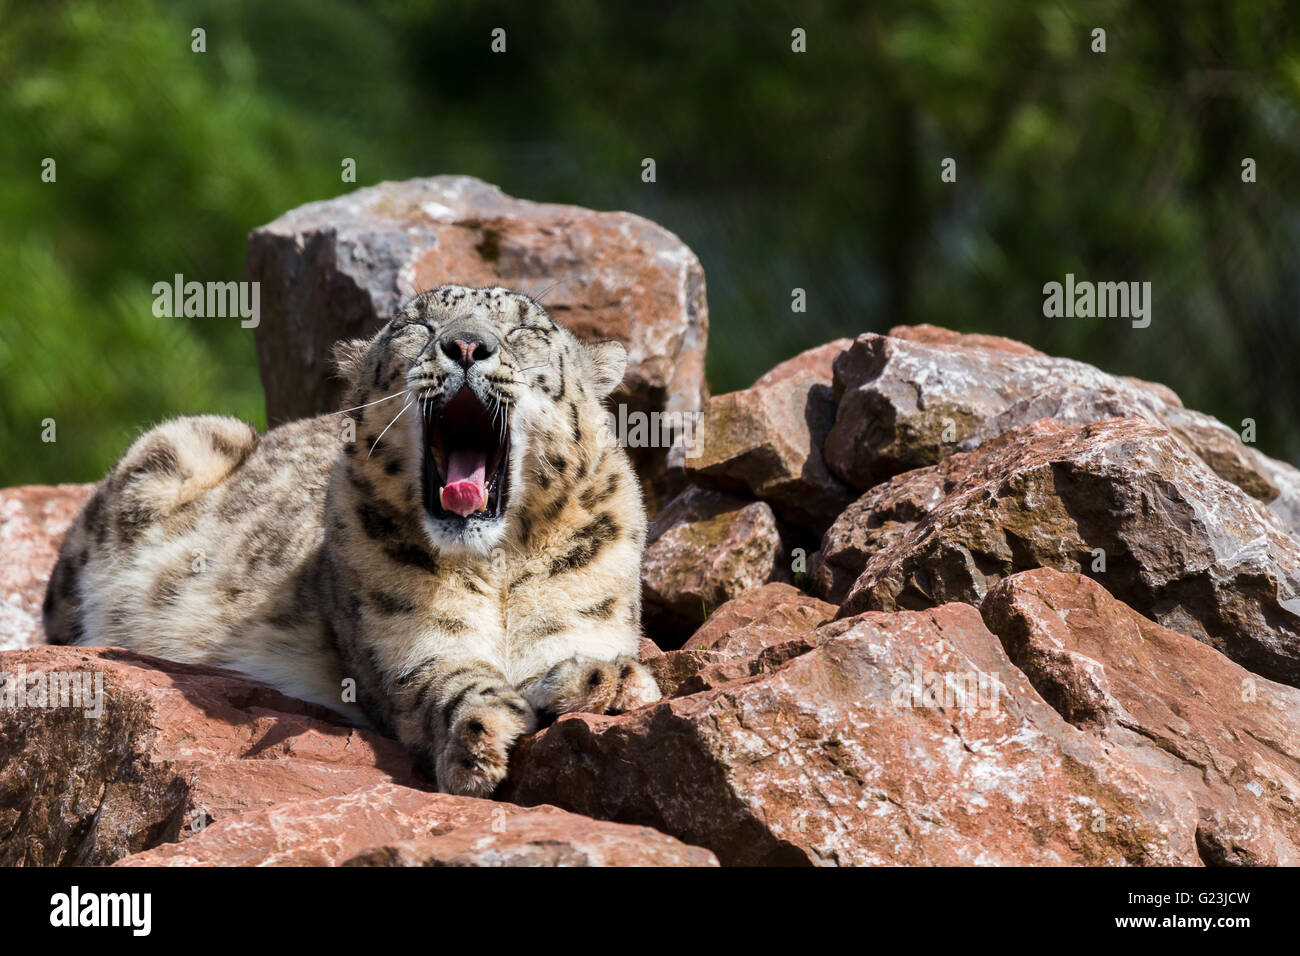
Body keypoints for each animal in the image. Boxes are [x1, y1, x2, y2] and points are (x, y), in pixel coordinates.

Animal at [43, 285, 661, 796]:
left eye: (523, 330)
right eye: (418, 324)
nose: (466, 345)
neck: (497, 564)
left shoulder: (585, 612)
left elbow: (571, 651)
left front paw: (607, 680)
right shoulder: (406, 646)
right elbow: (447, 679)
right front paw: (483, 732)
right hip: (180, 445)